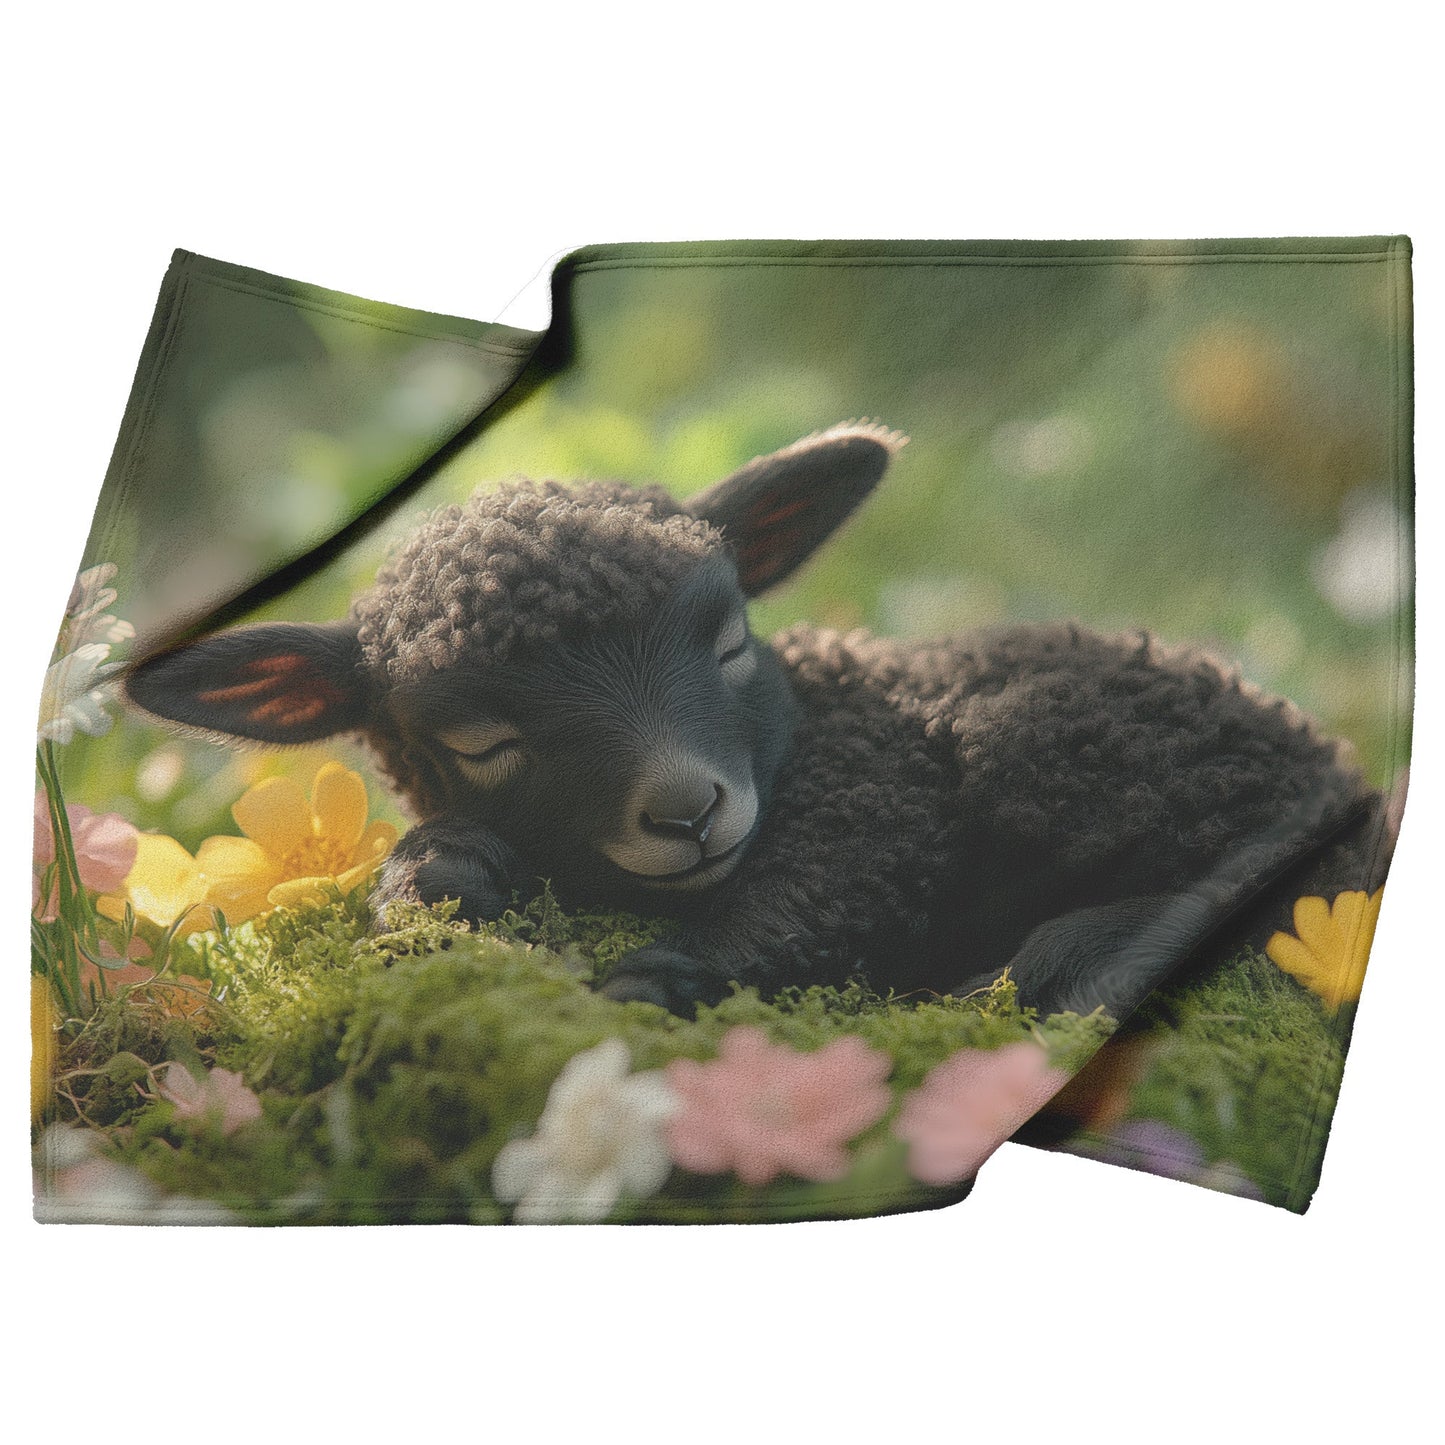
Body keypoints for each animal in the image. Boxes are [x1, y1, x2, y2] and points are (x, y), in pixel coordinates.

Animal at [124, 422, 1388, 1018]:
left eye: (728, 637)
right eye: (480, 743)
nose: (687, 810)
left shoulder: (878, 808)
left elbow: (812, 897)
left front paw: (656, 981)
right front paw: (439, 874)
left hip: (1061, 738)